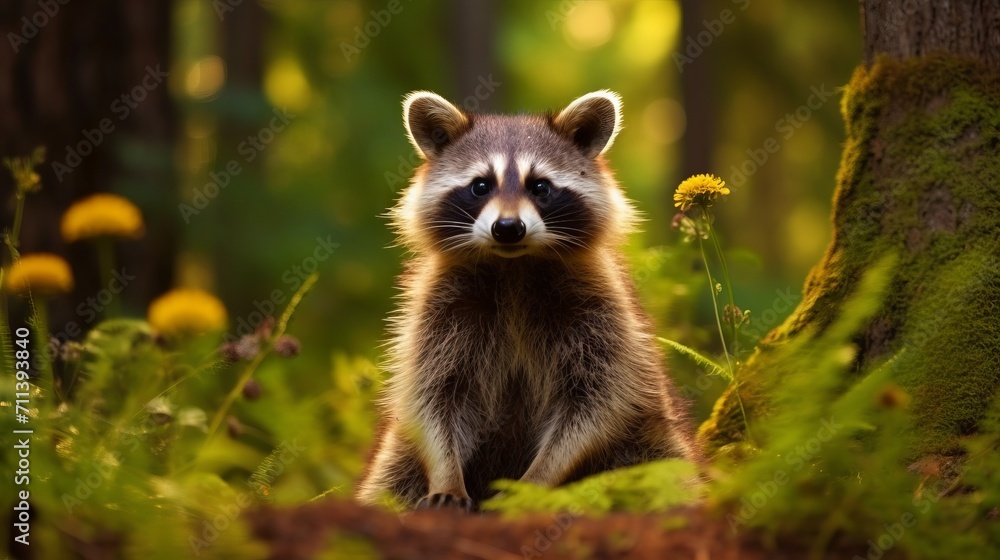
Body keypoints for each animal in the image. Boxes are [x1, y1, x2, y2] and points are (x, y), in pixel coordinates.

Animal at [356, 90, 700, 511]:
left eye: (540, 187)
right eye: (480, 186)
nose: (507, 228)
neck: (513, 267)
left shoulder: (603, 310)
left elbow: (598, 401)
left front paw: (535, 481)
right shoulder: (438, 310)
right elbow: (433, 395)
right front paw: (446, 477)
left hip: (651, 436)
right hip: (398, 451)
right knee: (389, 477)